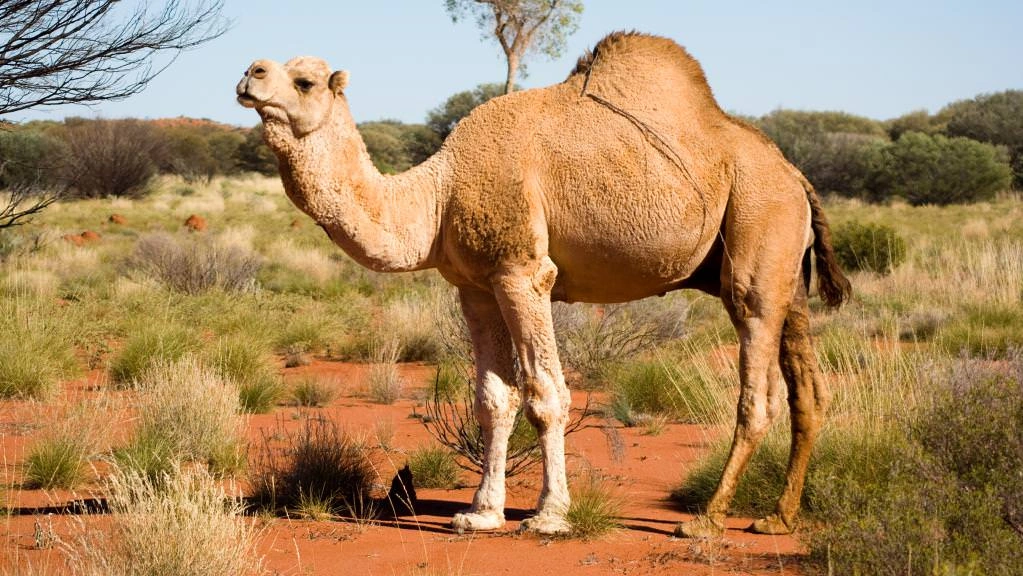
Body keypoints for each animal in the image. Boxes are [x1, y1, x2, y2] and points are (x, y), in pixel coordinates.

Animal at [236, 31, 851, 537]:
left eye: (305, 80)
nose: (248, 74)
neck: (438, 194)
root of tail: (796, 176)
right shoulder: (475, 286)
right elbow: (493, 397)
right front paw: (480, 513)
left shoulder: (522, 272)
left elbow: (546, 394)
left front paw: (550, 515)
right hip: (787, 274)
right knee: (808, 390)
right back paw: (778, 517)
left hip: (757, 228)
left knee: (757, 388)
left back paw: (707, 519)